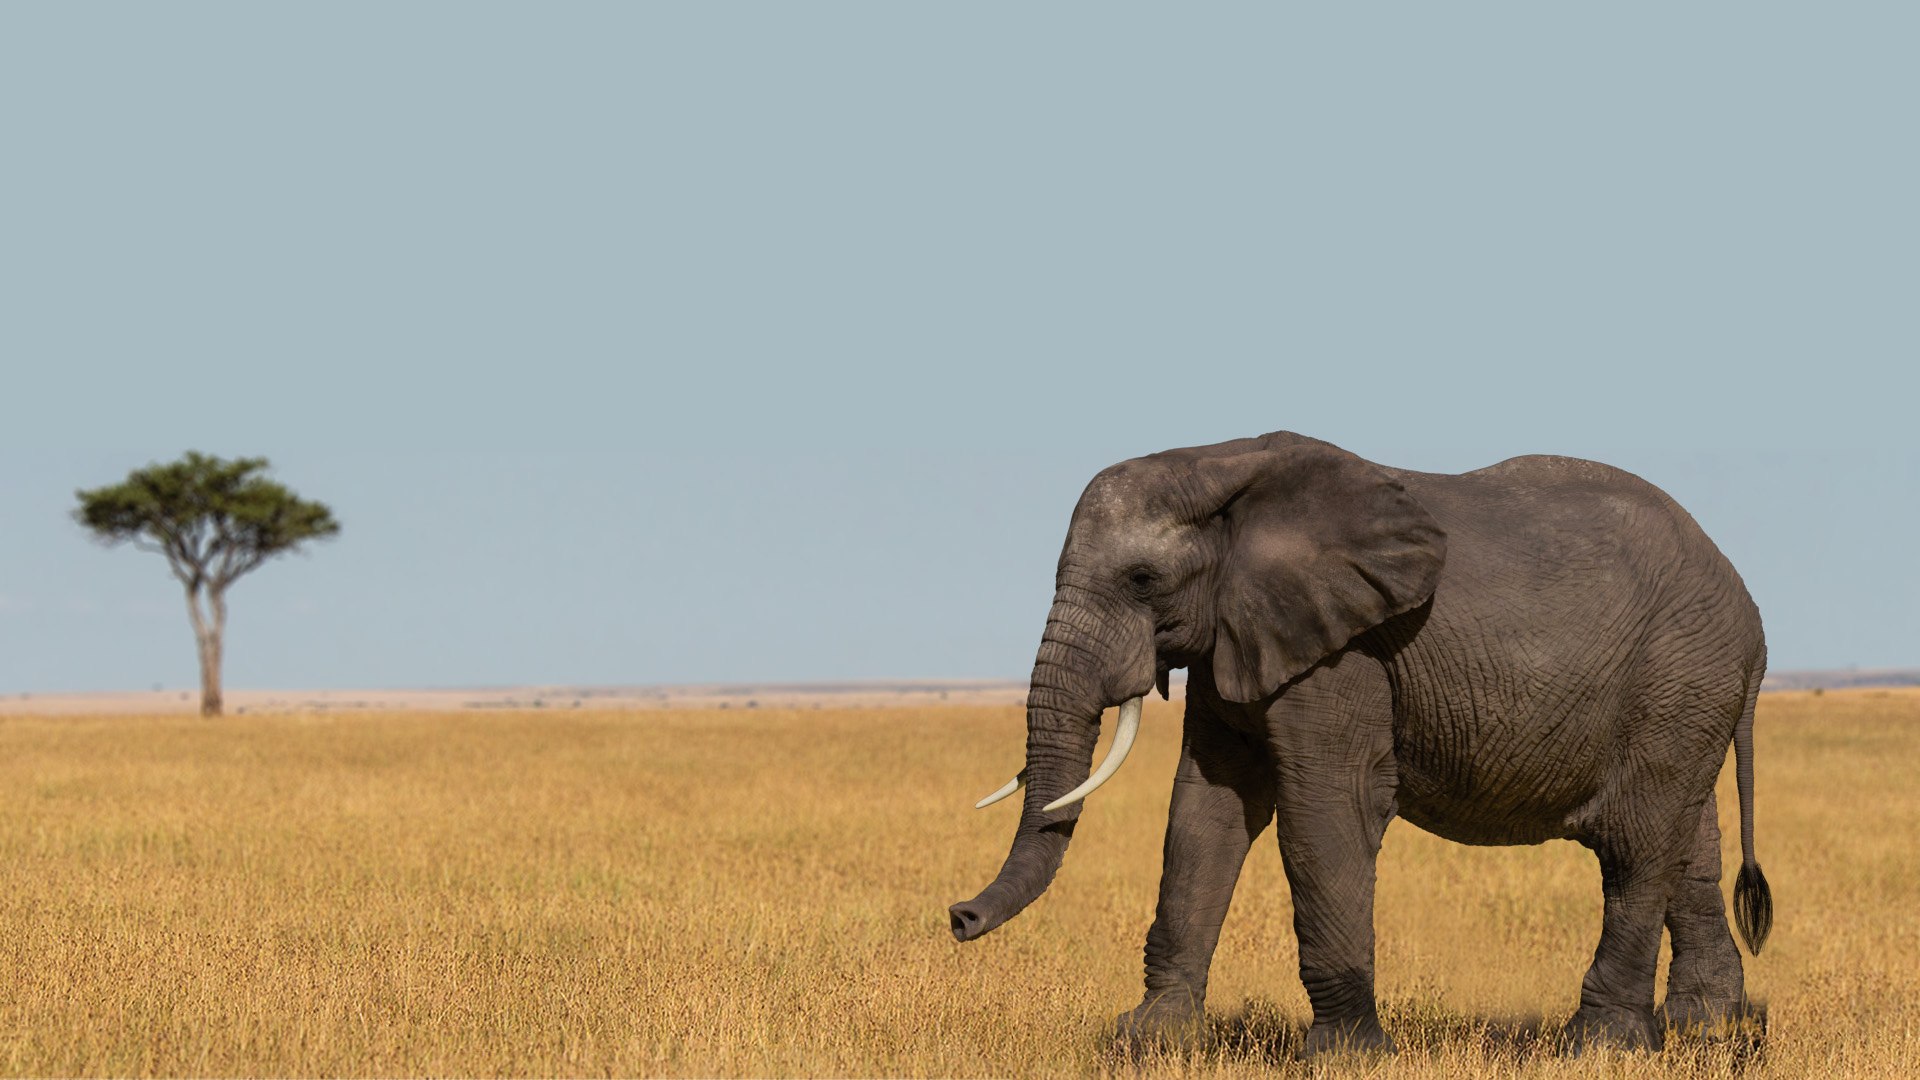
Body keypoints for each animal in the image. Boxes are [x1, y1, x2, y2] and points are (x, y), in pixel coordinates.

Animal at [948, 431, 1771, 1056]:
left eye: (1143, 579)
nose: (959, 918)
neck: (1220, 461)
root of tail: (1751, 614)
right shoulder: (1240, 636)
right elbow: (1204, 815)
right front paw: (1150, 1040)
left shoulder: (1345, 654)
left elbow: (1323, 816)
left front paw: (1345, 1056)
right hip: (1687, 694)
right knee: (1687, 847)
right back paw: (1710, 1032)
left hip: (1679, 676)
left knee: (1635, 847)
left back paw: (1600, 1047)